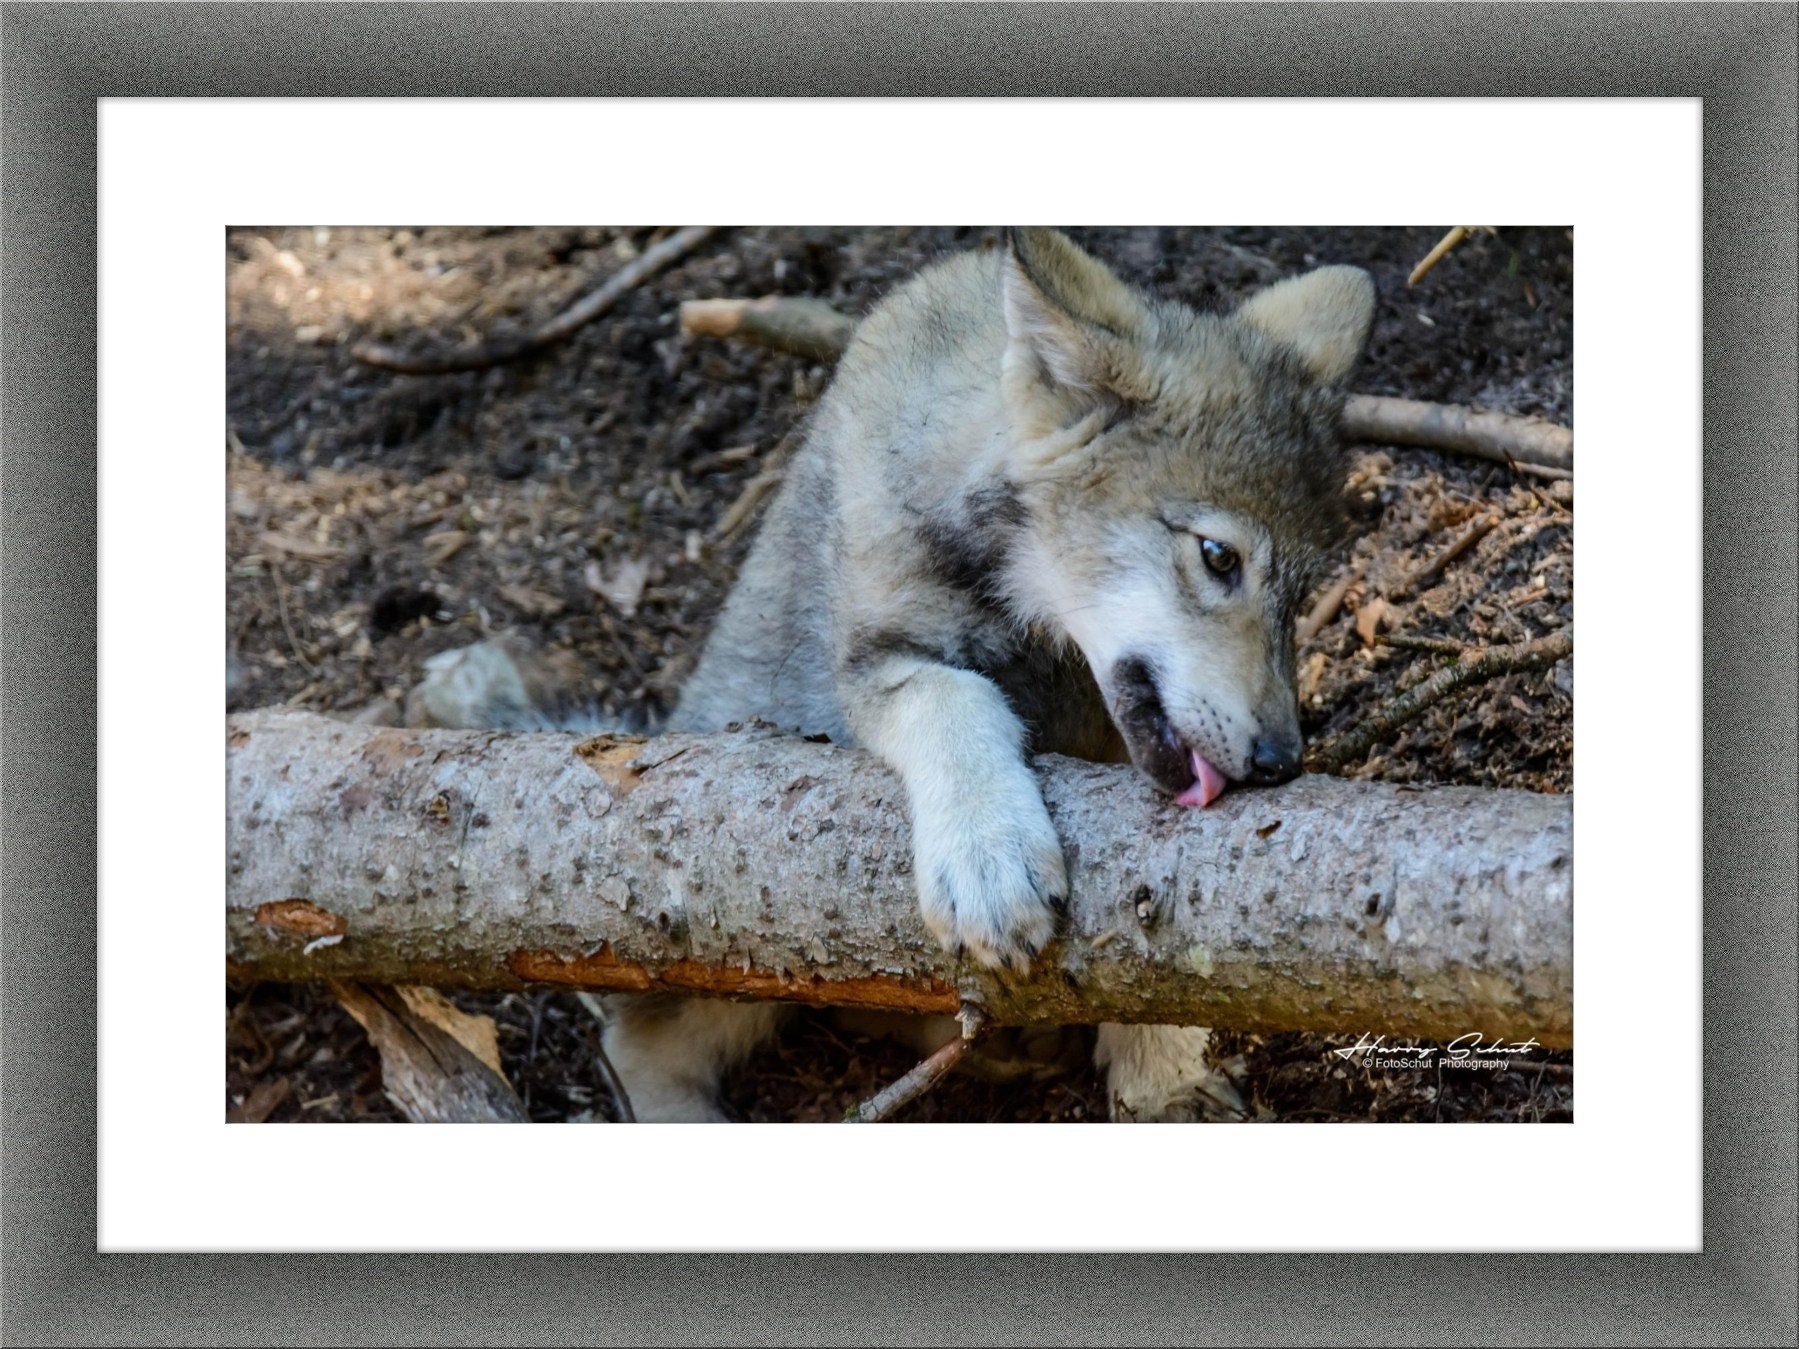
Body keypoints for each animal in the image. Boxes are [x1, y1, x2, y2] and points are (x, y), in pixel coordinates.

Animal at [415, 228, 1376, 1121]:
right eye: (1217, 557)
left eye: (1301, 596)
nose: (1282, 762)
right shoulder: (877, 665)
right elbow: (960, 700)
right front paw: (990, 856)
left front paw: (1163, 1079)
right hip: (727, 957)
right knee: (635, 1046)